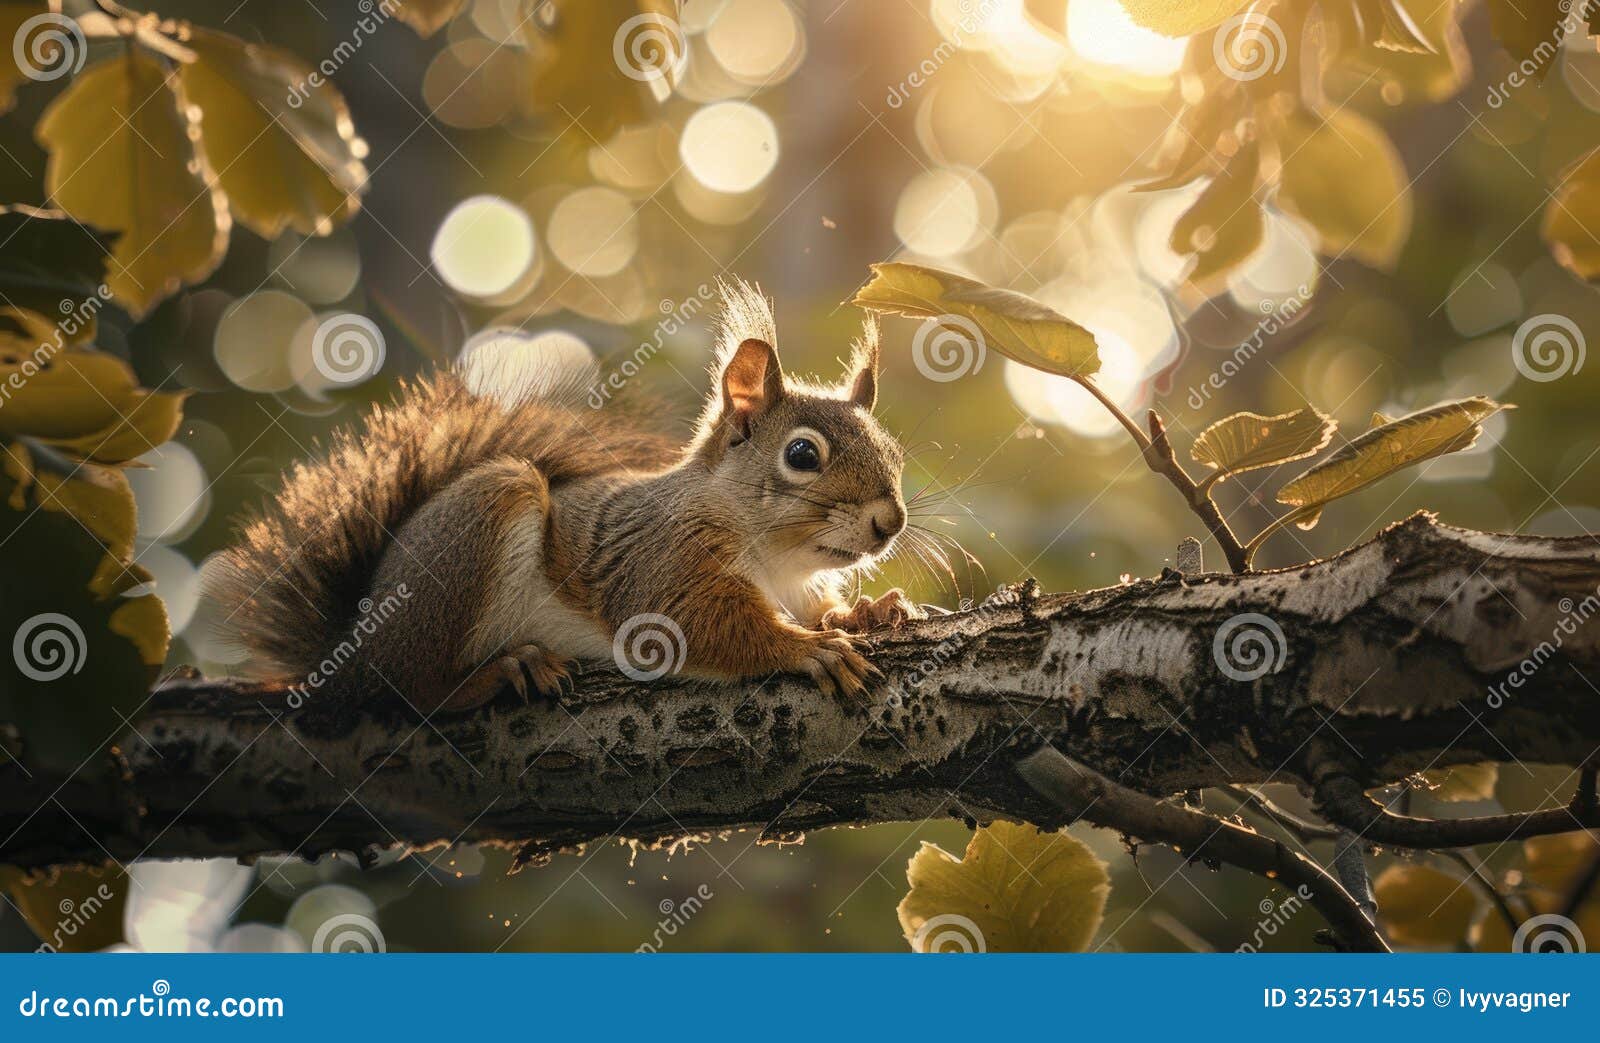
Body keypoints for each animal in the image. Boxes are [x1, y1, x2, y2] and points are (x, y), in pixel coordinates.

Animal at [208, 280, 922, 713]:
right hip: (469, 541)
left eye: (895, 452)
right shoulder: (662, 562)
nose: (891, 521)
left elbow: (823, 609)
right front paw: (807, 650)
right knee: (405, 692)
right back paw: (505, 670)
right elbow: (696, 622)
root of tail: (347, 647)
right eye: (802, 455)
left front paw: (866, 613)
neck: (777, 559)